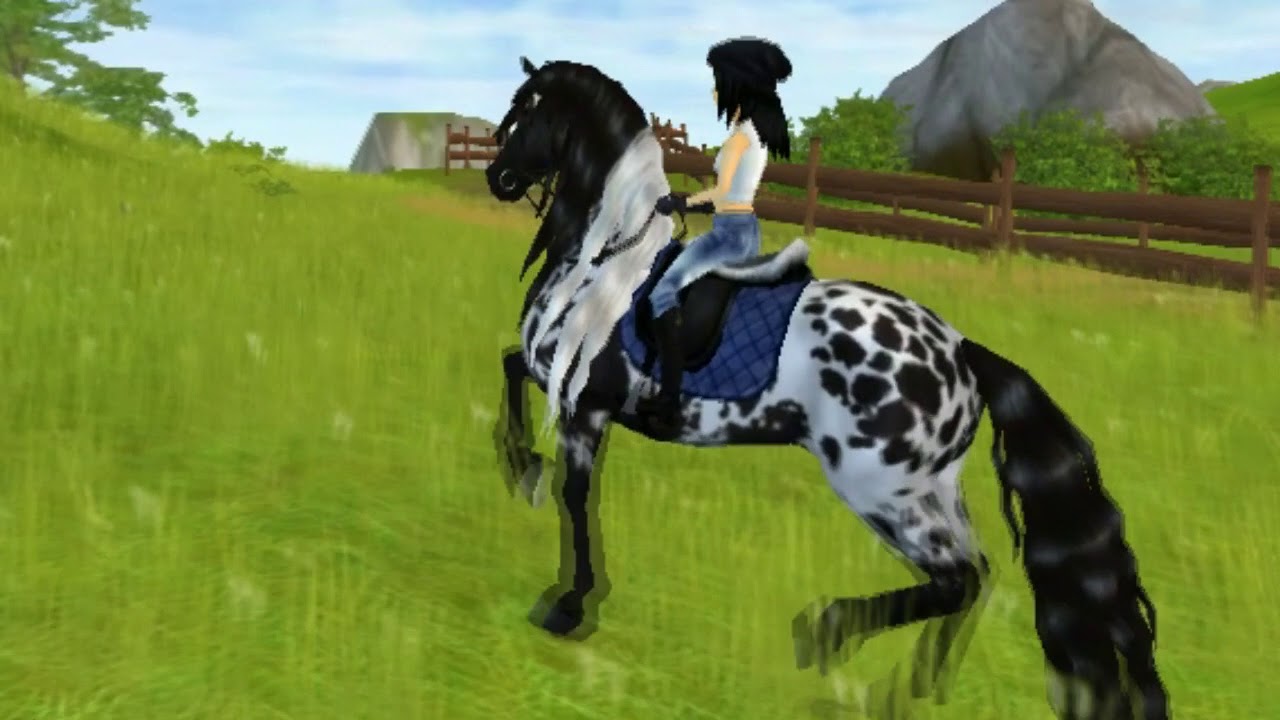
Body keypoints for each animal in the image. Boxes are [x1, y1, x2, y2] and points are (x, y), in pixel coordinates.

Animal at [482, 56, 1169, 720]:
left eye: (532, 115)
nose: (499, 179)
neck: (605, 262)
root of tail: (962, 351)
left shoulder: (586, 408)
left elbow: (575, 497)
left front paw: (567, 606)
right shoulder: (553, 380)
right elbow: (512, 368)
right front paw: (523, 471)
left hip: (880, 487)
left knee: (958, 578)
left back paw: (830, 631)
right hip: (933, 488)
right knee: (976, 576)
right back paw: (903, 692)